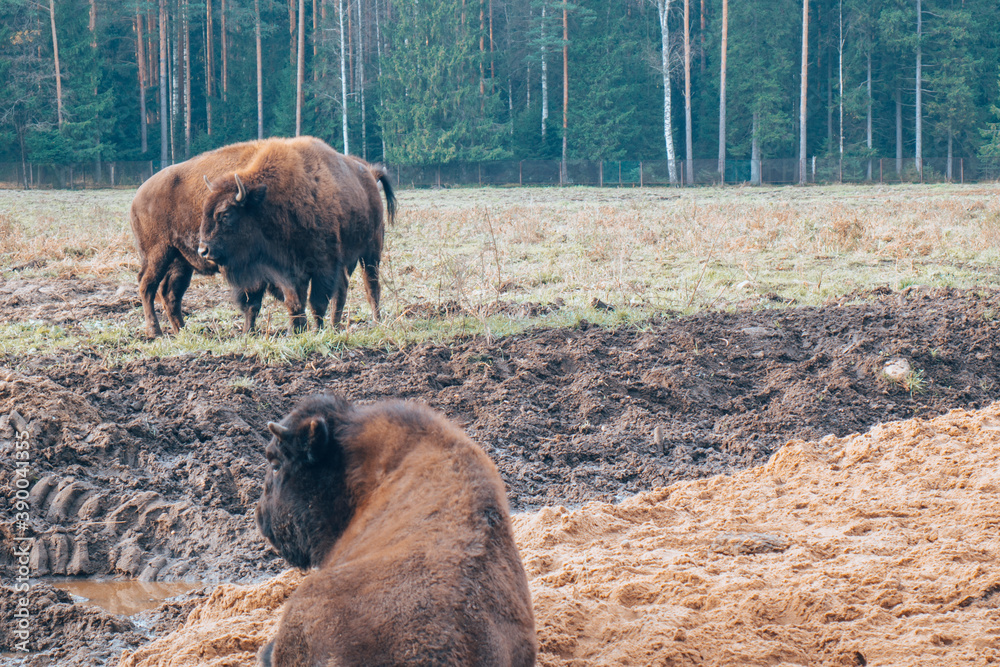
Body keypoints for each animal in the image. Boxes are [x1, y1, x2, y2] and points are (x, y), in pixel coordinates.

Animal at [199, 137, 396, 333]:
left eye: (225, 214)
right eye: (205, 210)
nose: (203, 250)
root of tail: (370, 176)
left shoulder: (323, 265)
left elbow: (317, 302)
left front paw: (316, 330)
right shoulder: (287, 271)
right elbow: (294, 303)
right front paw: (296, 331)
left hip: (371, 252)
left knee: (371, 286)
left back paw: (376, 321)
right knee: (342, 290)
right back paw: (335, 326)